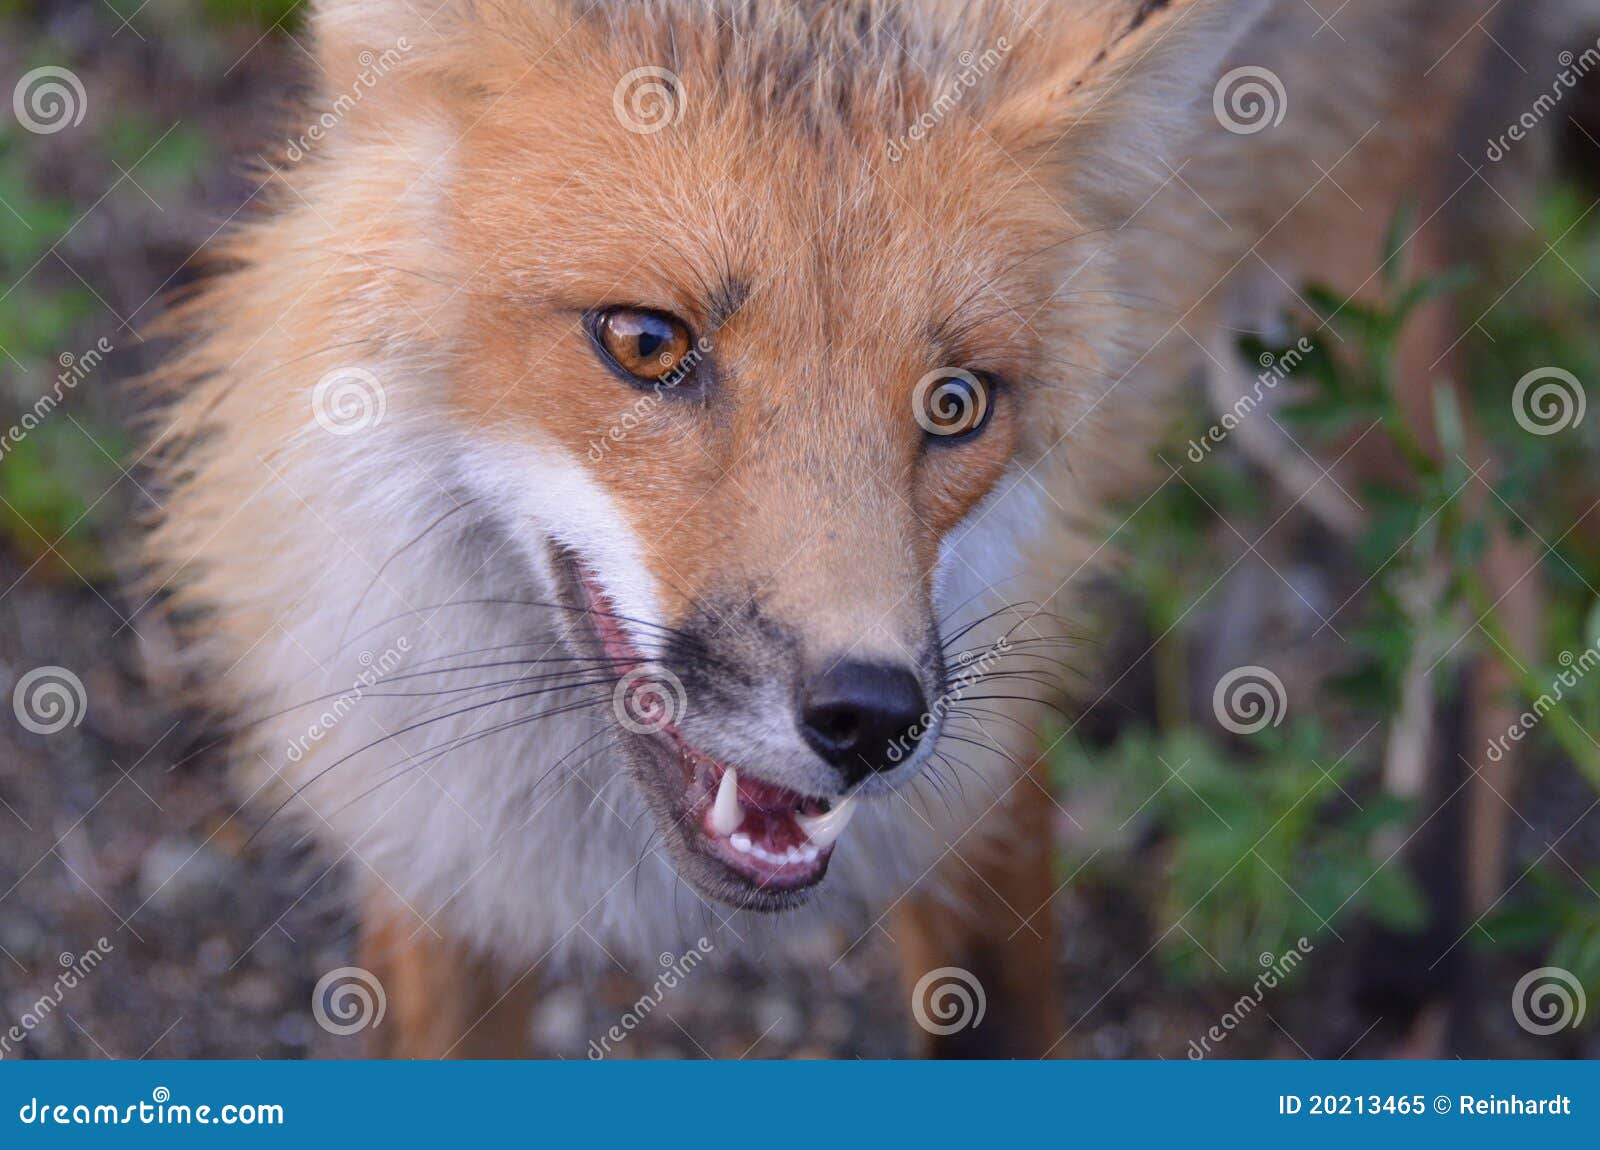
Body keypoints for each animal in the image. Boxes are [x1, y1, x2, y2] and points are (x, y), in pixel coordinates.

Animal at [142, 0, 1570, 1057]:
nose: (871, 716)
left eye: (956, 402)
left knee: (1496, 556)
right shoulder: (439, 861)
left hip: (1337, 334)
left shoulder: (982, 808)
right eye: (644, 342)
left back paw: (1434, 956)